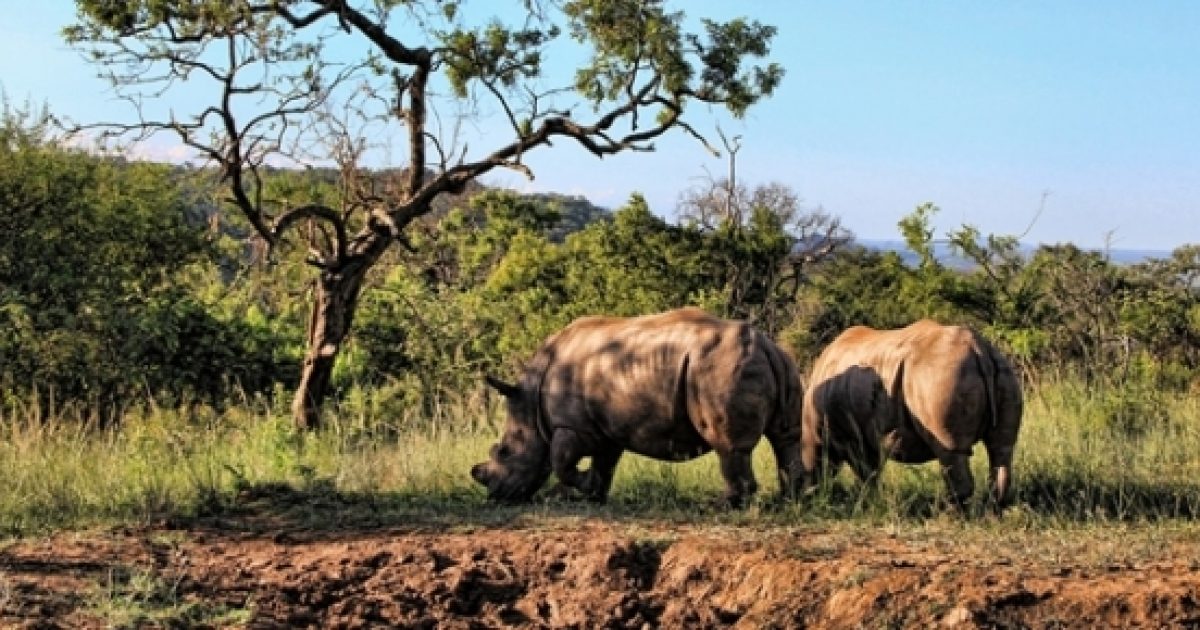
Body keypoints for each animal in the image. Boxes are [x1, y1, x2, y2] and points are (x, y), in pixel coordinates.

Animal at [471, 307, 804, 507]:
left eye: (504, 452)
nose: (495, 496)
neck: (530, 402)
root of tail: (763, 344)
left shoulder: (571, 425)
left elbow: (561, 462)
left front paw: (577, 489)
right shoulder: (606, 427)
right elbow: (604, 464)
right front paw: (592, 495)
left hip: (720, 368)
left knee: (730, 448)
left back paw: (724, 505)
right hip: (782, 364)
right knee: (786, 437)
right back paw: (791, 500)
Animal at [801, 320, 1023, 511]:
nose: (809, 495)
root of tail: (979, 349)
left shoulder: (850, 437)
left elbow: (865, 471)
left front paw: (864, 502)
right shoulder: (865, 436)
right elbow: (871, 472)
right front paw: (870, 502)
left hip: (941, 376)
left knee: (951, 452)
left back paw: (952, 514)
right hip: (1003, 371)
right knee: (1002, 449)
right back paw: (994, 510)